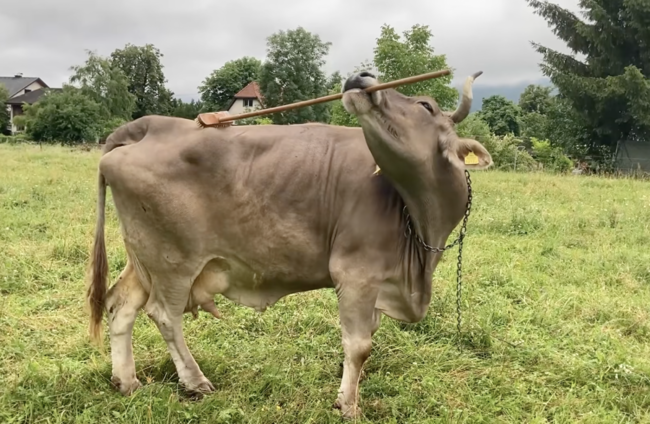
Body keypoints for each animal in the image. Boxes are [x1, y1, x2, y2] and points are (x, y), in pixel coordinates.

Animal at [85, 70, 492, 419]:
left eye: (424, 105)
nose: (362, 75)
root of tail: (152, 124)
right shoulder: (356, 273)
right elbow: (359, 345)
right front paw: (348, 405)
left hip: (143, 257)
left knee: (121, 304)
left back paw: (127, 381)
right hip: (173, 260)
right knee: (164, 315)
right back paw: (195, 381)